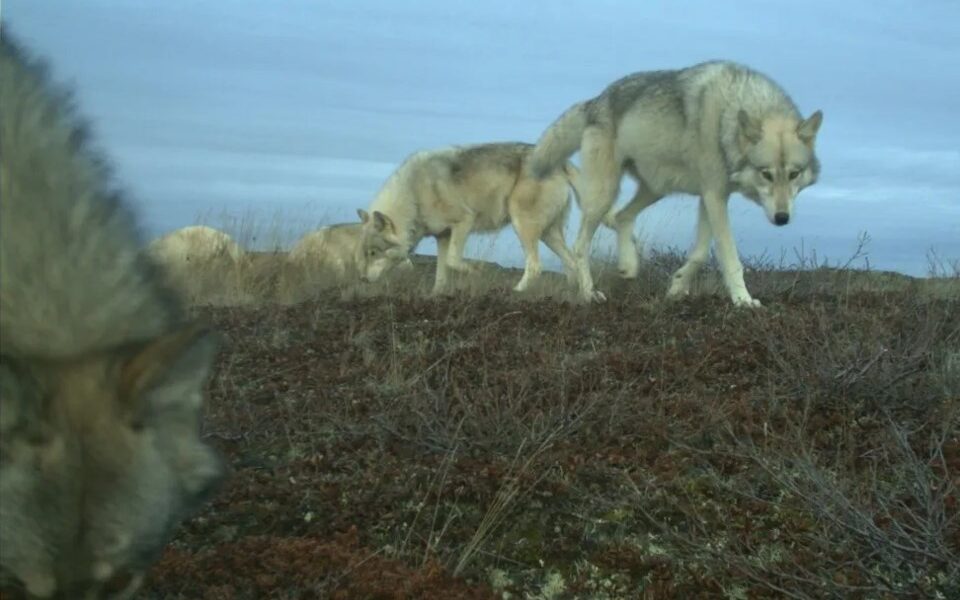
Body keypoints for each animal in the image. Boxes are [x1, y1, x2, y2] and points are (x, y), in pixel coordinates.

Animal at [356, 142, 582, 294]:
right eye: (366, 253)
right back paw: (575, 295)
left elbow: (453, 260)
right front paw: (436, 295)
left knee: (536, 266)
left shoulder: (464, 221)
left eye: (373, 253)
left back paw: (515, 292)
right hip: (548, 235)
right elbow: (441, 272)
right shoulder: (443, 236)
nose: (363, 279)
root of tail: (562, 163)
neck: (414, 195)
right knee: (572, 262)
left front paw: (476, 271)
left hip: (523, 227)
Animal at [530, 60, 823, 306]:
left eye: (794, 174)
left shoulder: (711, 197)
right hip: (605, 194)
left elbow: (700, 253)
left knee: (623, 216)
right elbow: (730, 256)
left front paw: (677, 287)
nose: (782, 218)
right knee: (580, 246)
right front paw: (743, 300)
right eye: (766, 174)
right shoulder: (715, 196)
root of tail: (595, 101)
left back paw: (629, 265)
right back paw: (590, 293)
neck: (729, 114)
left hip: (656, 188)